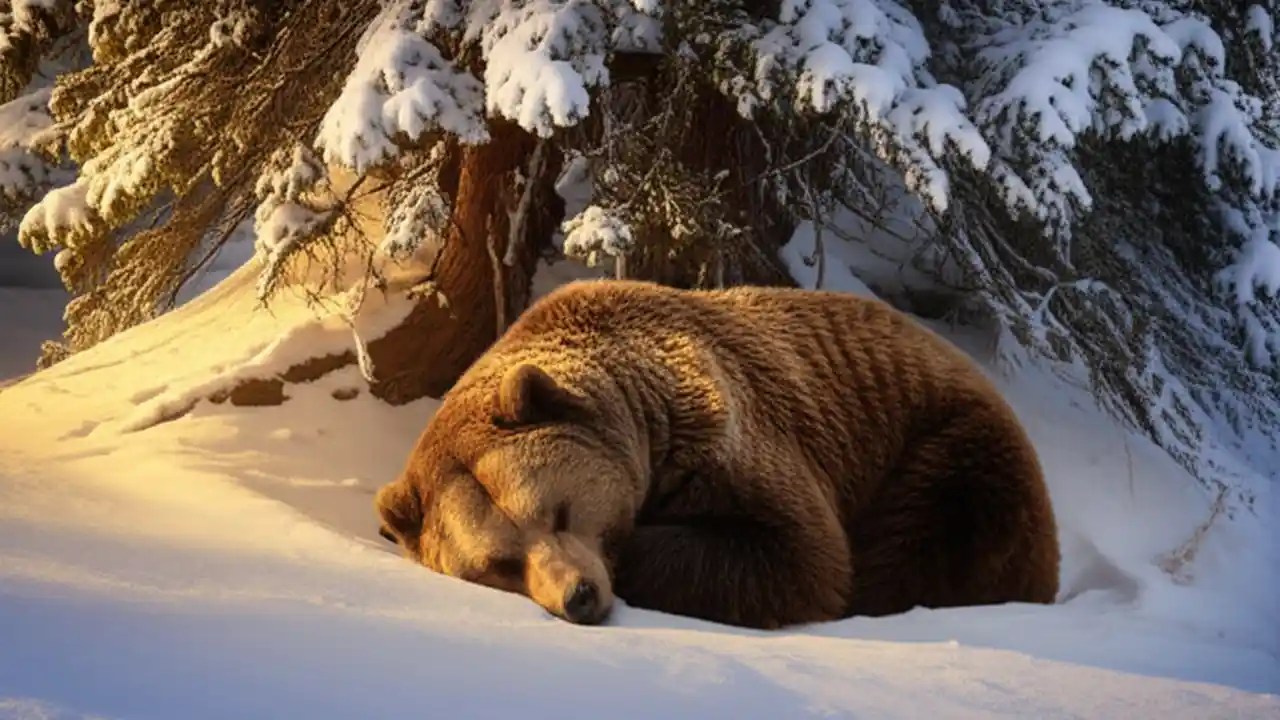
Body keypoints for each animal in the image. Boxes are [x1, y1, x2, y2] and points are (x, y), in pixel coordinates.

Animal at [374, 278, 1060, 629]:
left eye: (558, 510)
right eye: (499, 563)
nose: (579, 597)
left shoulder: (728, 428)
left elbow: (799, 553)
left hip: (951, 451)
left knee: (919, 538)